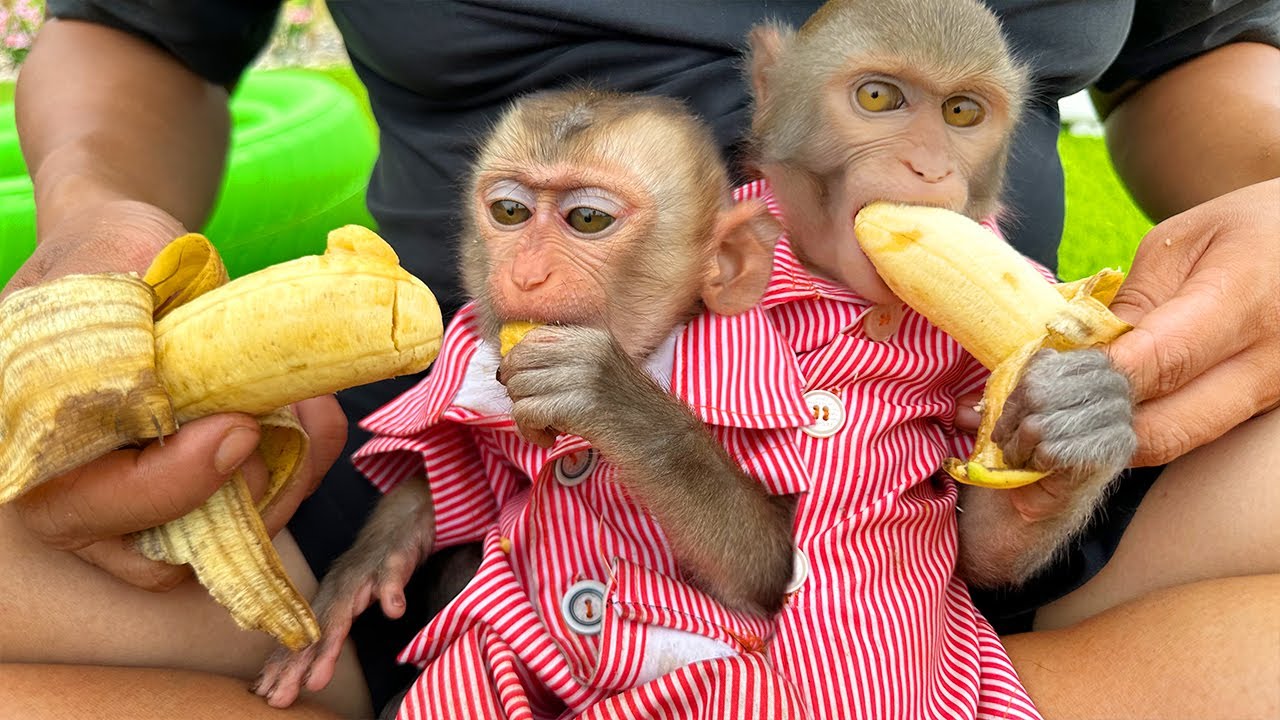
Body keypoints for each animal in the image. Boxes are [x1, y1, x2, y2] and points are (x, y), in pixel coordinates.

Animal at [255, 89, 807, 716]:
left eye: (588, 219)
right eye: (510, 213)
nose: (525, 273)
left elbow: (766, 568)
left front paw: (611, 397)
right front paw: (365, 573)